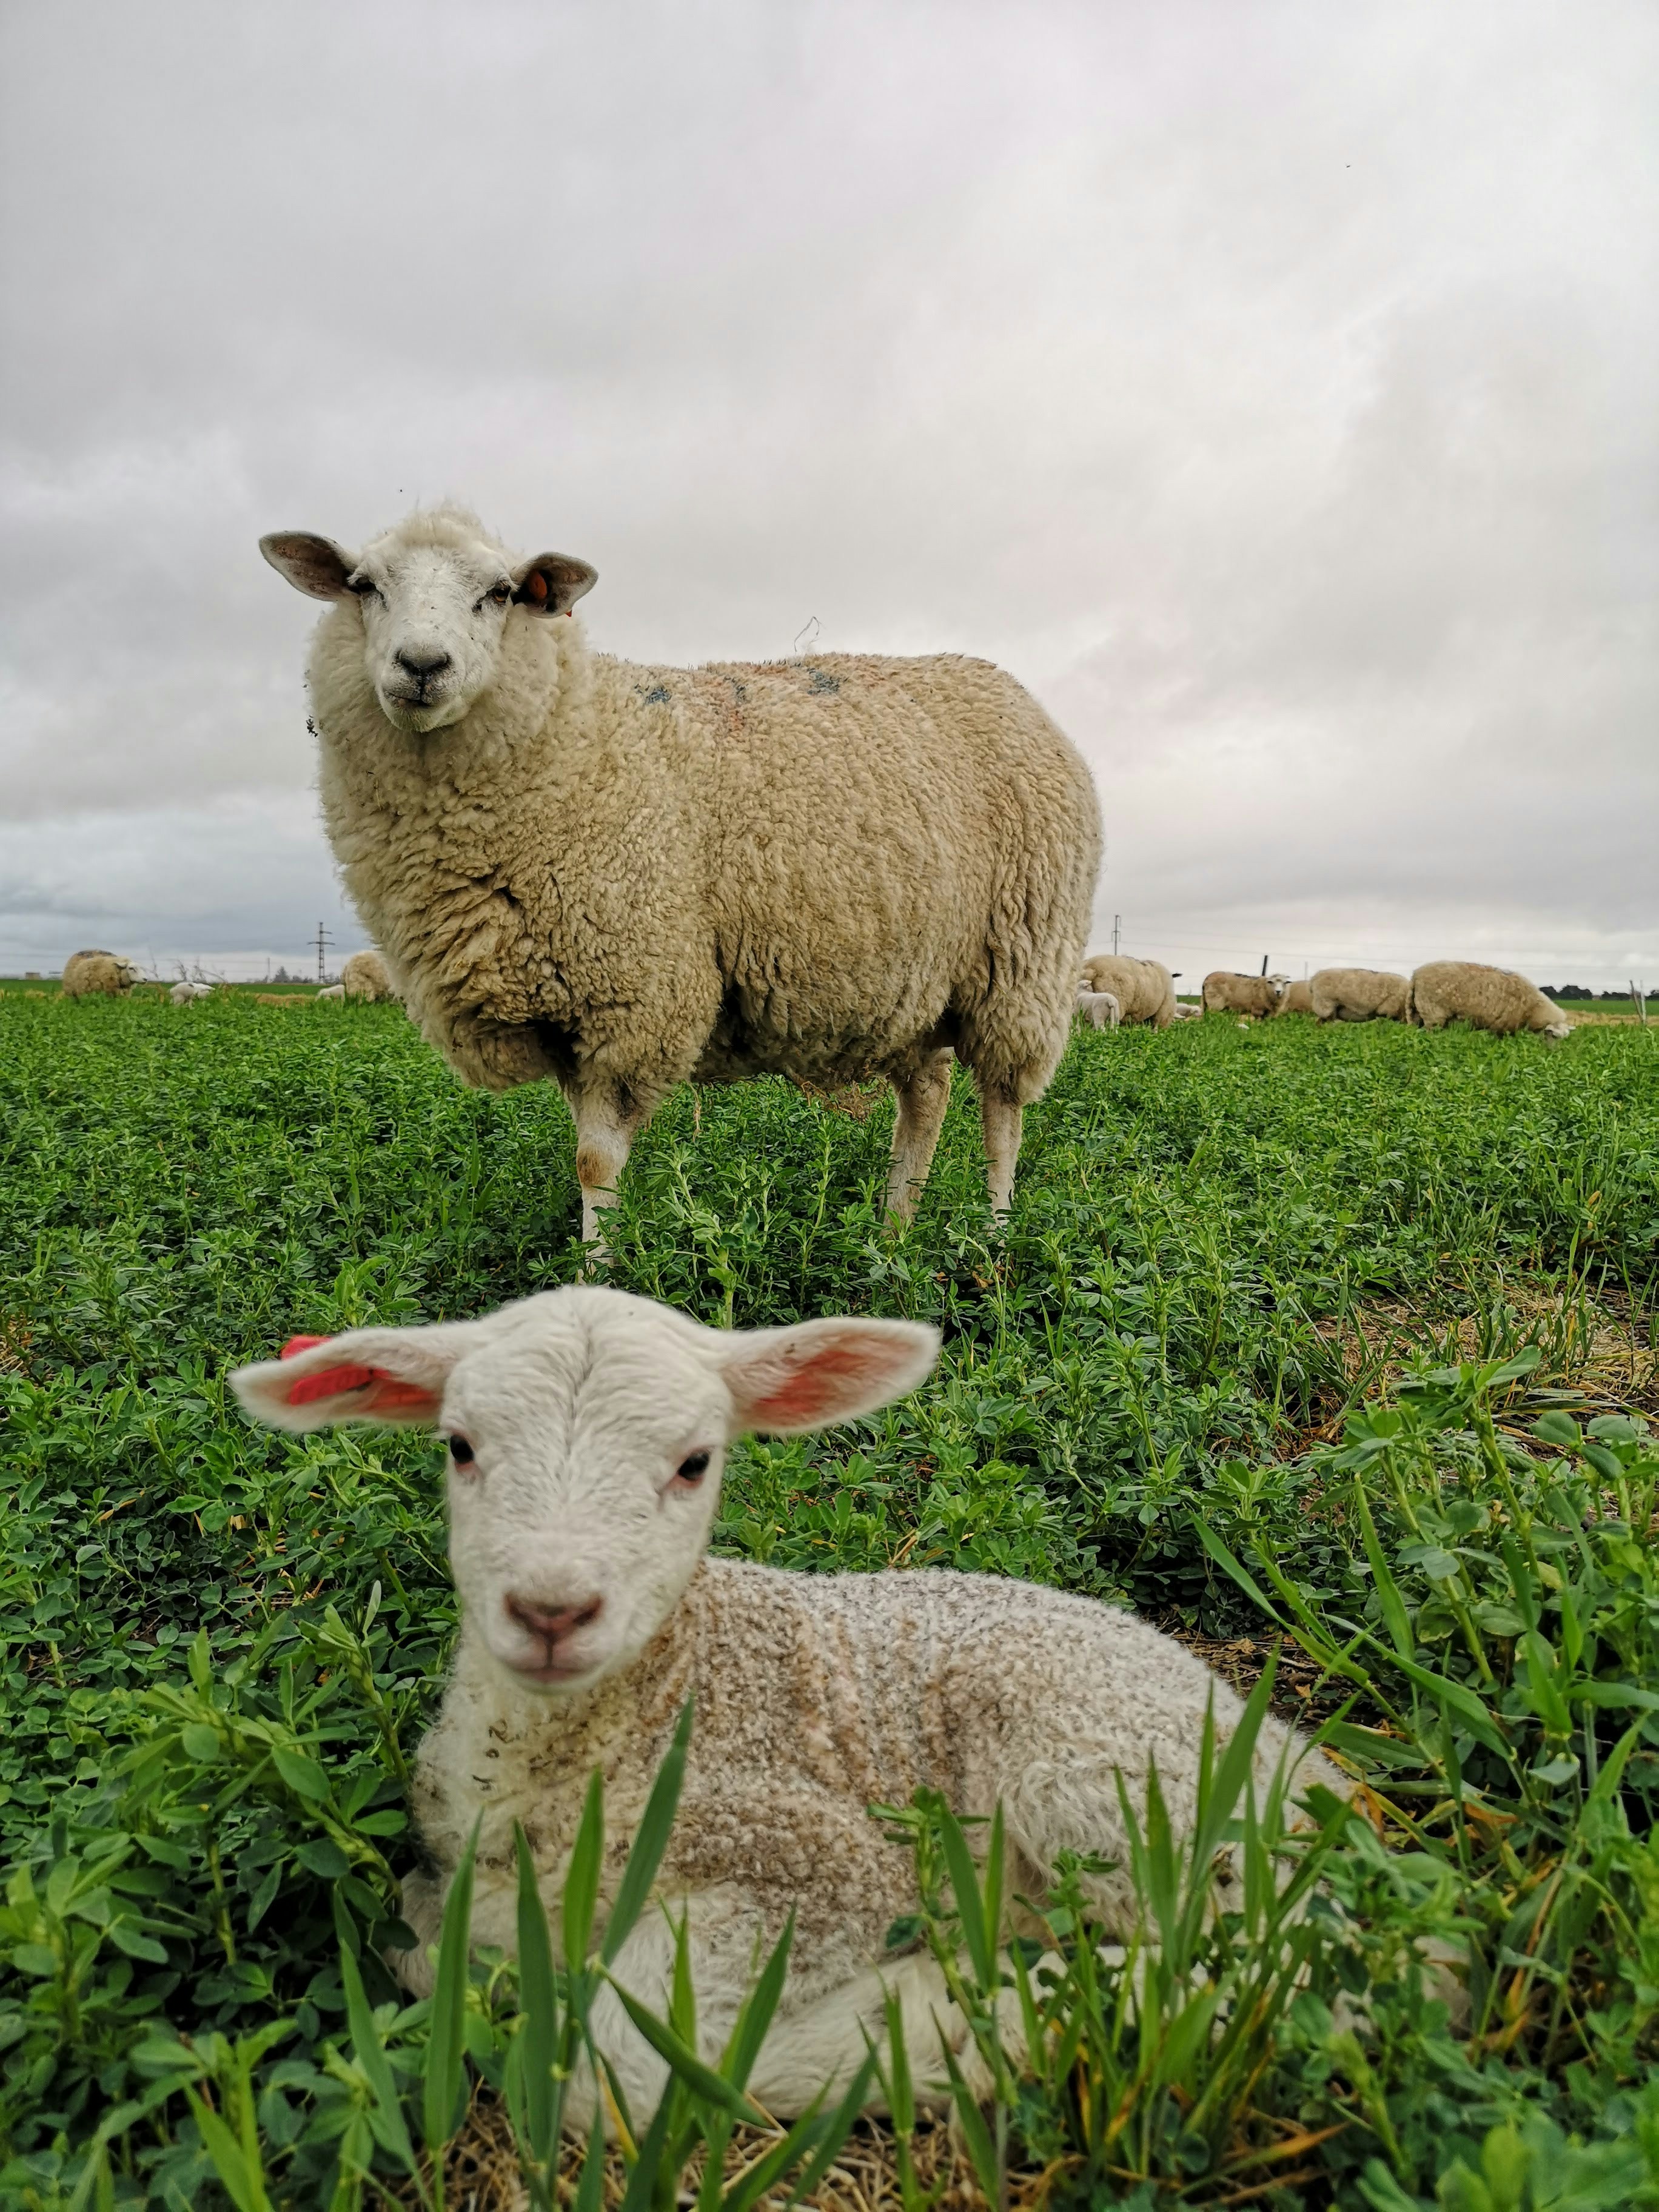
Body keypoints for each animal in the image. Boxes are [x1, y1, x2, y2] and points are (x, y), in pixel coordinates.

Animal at [232, 1286, 1339, 2128]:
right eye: (459, 1446)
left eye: (695, 1462)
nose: (551, 1609)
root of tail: (1292, 1751)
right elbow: (432, 1940)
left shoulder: (820, 1861)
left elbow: (623, 2056)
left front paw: (891, 2022)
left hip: (1108, 1782)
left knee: (1285, 1959)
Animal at [260, 508, 1101, 1241]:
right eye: (363, 585)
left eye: (500, 592)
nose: (422, 667)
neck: (581, 739)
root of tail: (1011, 690)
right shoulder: (570, 1009)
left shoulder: (629, 995)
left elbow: (594, 1164)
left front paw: (595, 1282)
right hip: (916, 984)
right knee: (926, 1098)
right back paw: (894, 1235)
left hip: (1021, 964)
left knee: (1003, 1114)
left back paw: (991, 1243)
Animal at [1201, 971, 1290, 1017]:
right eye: (1272, 982)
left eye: (1285, 983)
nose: (1278, 991)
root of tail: (1206, 980)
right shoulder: (1258, 1010)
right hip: (1215, 1003)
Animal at [1411, 961, 1570, 1041]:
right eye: (1553, 1036)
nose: (1552, 1056)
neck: (1533, 1009)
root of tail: (1416, 974)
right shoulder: (1503, 1026)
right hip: (1433, 1014)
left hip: (1419, 1012)